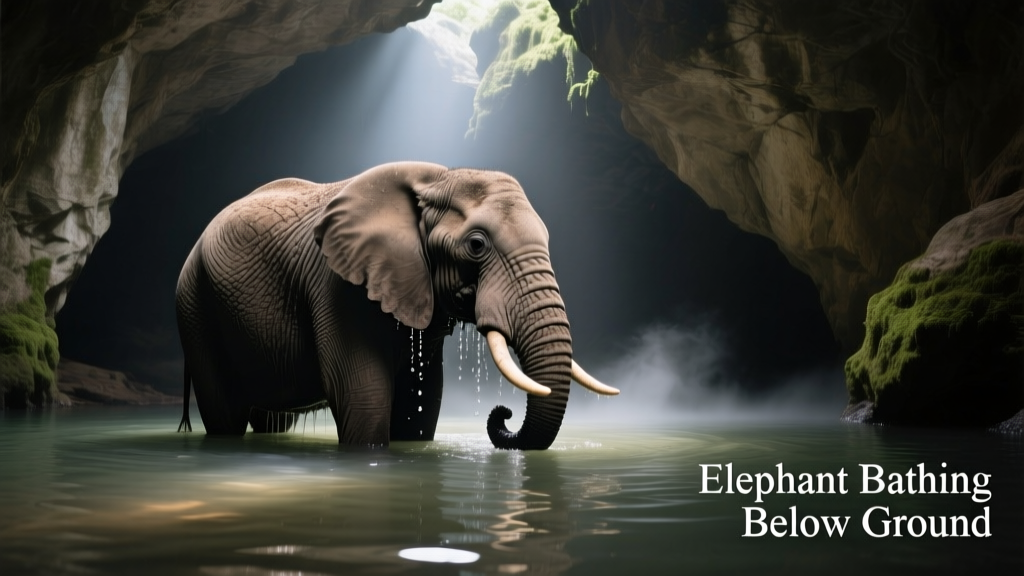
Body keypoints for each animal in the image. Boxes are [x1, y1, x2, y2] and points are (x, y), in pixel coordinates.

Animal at [175, 162, 617, 450]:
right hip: (194, 305)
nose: (502, 415)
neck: (437, 178)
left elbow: (421, 401)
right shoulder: (338, 287)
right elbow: (363, 396)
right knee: (224, 413)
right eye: (476, 245)